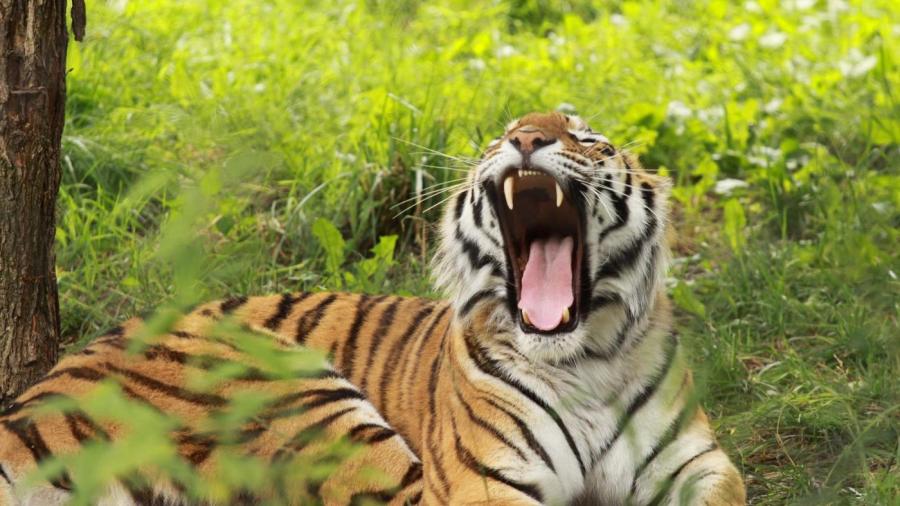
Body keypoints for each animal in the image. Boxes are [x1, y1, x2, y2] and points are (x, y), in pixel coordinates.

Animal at [0, 112, 746, 505]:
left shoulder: (700, 466)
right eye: (501, 135)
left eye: (586, 139)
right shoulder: (482, 483)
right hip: (298, 397)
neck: (585, 357)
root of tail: (34, 396)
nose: (527, 139)